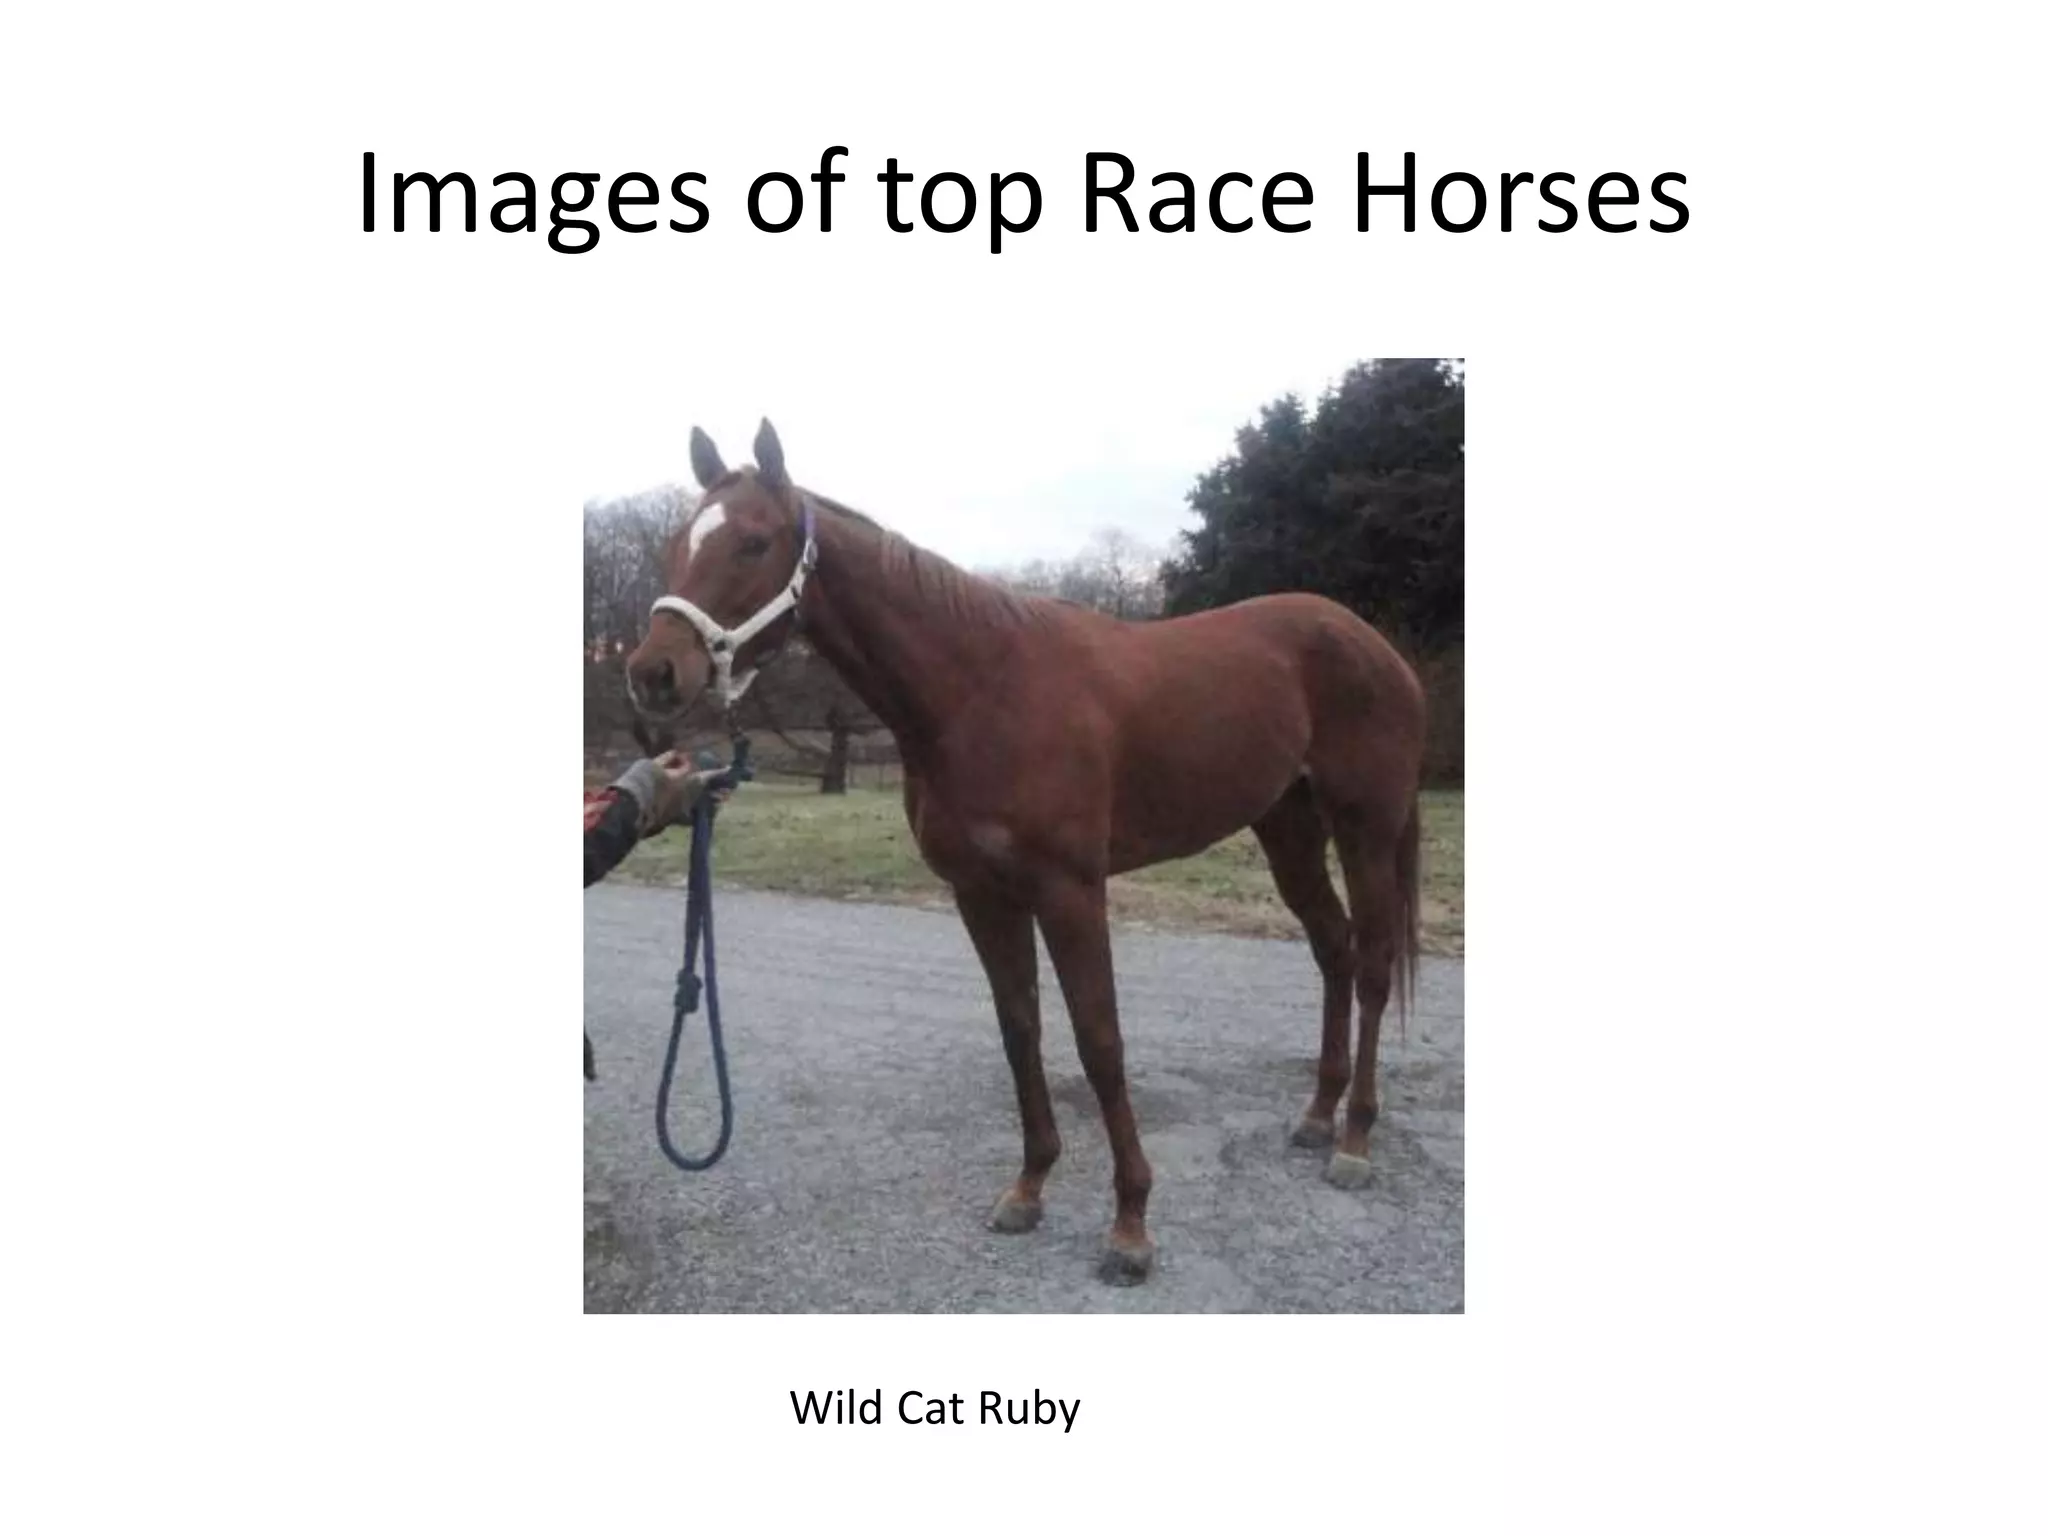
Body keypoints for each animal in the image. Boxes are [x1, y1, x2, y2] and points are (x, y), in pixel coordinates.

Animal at [624, 420, 1426, 1284]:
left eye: (754, 542)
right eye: (677, 544)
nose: (653, 673)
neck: (981, 691)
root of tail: (1374, 644)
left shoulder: (1070, 891)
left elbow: (1100, 1042)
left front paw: (1131, 1226)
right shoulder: (981, 893)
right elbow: (1022, 1031)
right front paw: (1030, 1187)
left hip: (1366, 827)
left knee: (1372, 965)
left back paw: (1354, 1140)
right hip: (1288, 829)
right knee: (1334, 950)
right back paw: (1317, 1115)